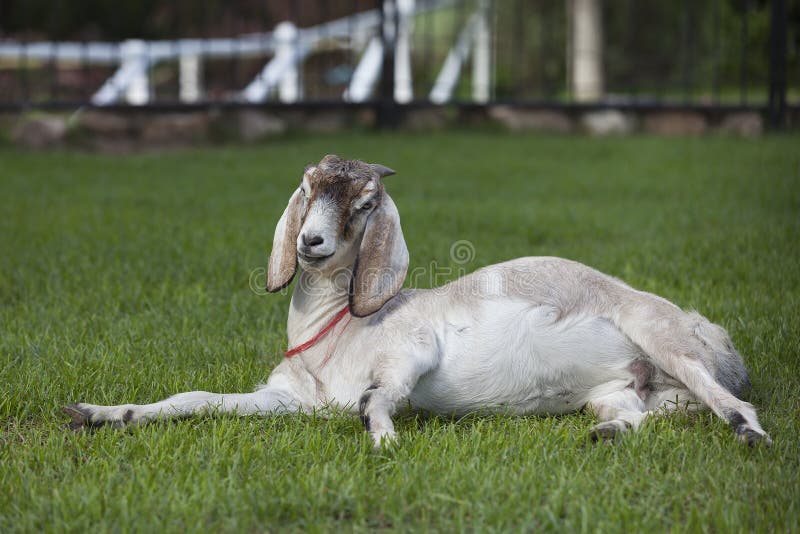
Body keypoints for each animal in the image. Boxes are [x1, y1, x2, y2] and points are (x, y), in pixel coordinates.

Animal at [64, 155, 771, 447]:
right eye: (307, 188)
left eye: (365, 203)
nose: (310, 242)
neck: (336, 336)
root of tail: (714, 337)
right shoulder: (292, 403)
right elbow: (196, 399)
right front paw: (100, 413)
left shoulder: (412, 348)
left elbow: (384, 394)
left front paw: (379, 434)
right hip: (626, 389)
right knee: (635, 415)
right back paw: (603, 435)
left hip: (664, 341)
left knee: (734, 403)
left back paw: (749, 435)